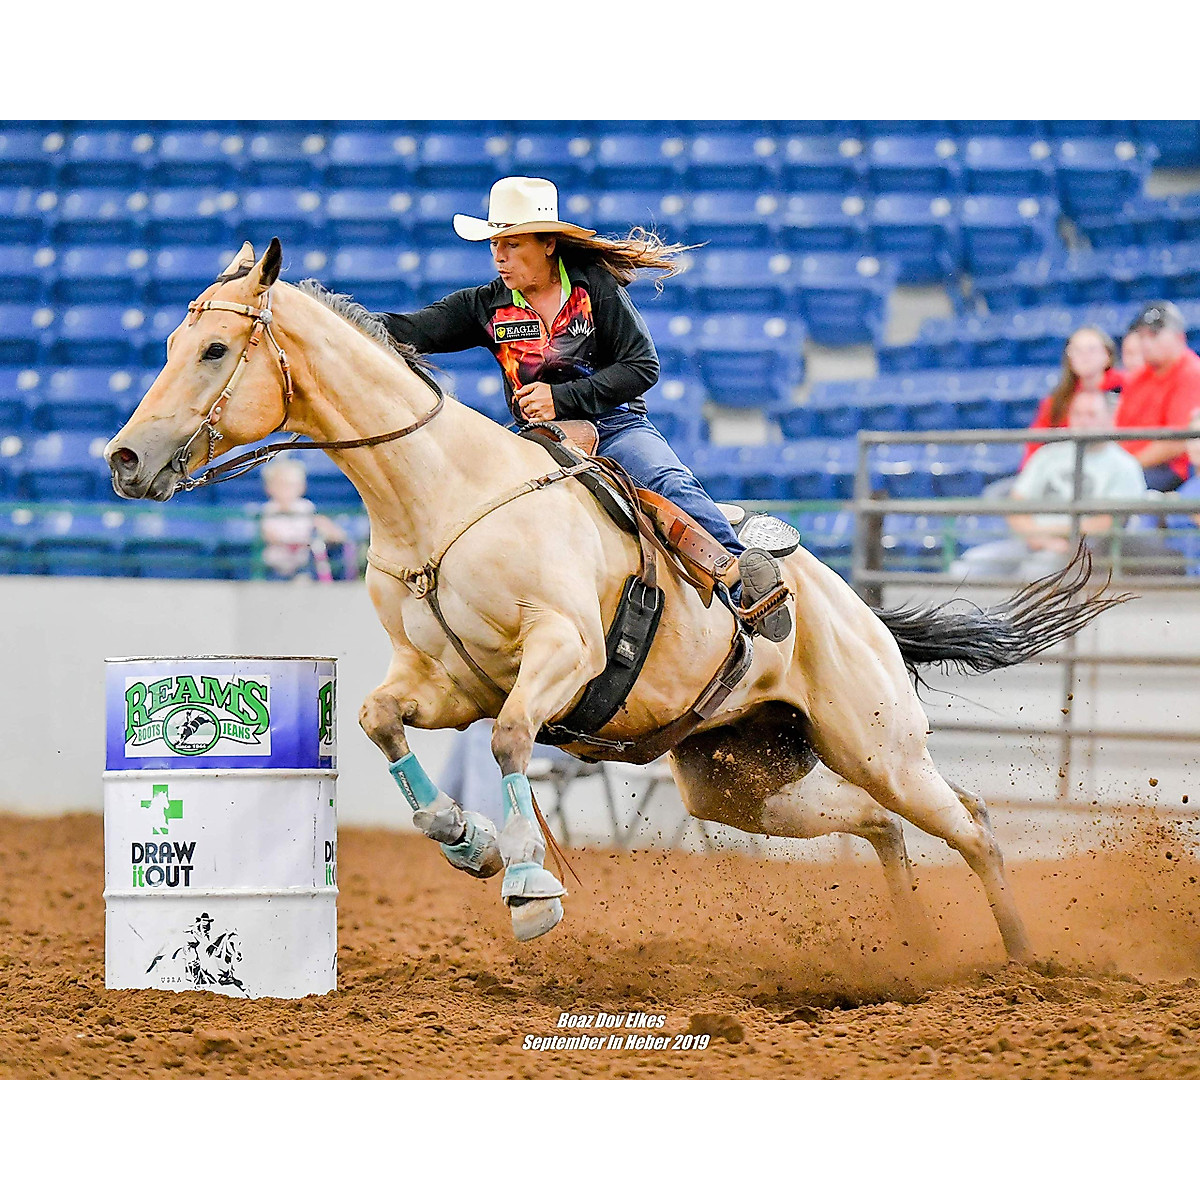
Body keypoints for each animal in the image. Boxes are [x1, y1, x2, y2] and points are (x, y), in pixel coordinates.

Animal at [105, 239, 1125, 959]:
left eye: (214, 348)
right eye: (172, 343)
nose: (122, 458)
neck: (444, 498)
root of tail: (861, 614)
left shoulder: (565, 654)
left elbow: (514, 739)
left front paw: (527, 888)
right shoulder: (443, 680)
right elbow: (376, 719)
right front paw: (464, 840)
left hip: (879, 746)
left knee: (974, 825)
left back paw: (1019, 963)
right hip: (736, 780)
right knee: (877, 824)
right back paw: (915, 950)